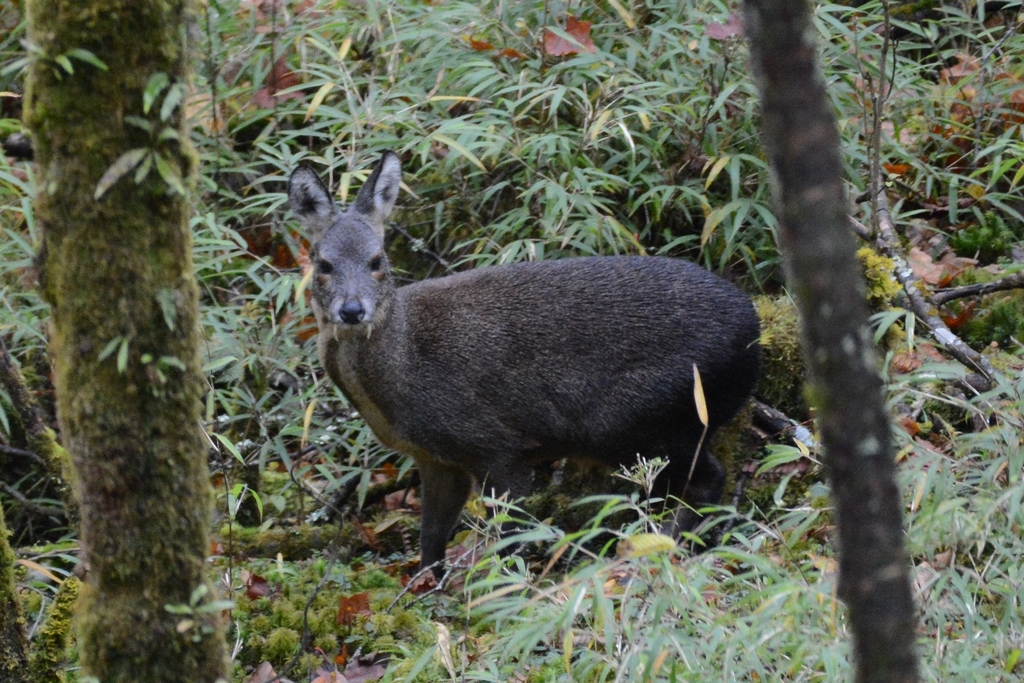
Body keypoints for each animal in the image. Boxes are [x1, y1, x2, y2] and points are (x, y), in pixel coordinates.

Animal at [288, 151, 761, 575]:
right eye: (323, 263)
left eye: (377, 261)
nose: (353, 310)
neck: (401, 370)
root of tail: (753, 333)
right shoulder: (436, 458)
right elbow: (432, 537)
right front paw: (427, 590)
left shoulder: (497, 443)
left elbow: (510, 536)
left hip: (645, 417)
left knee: (707, 478)